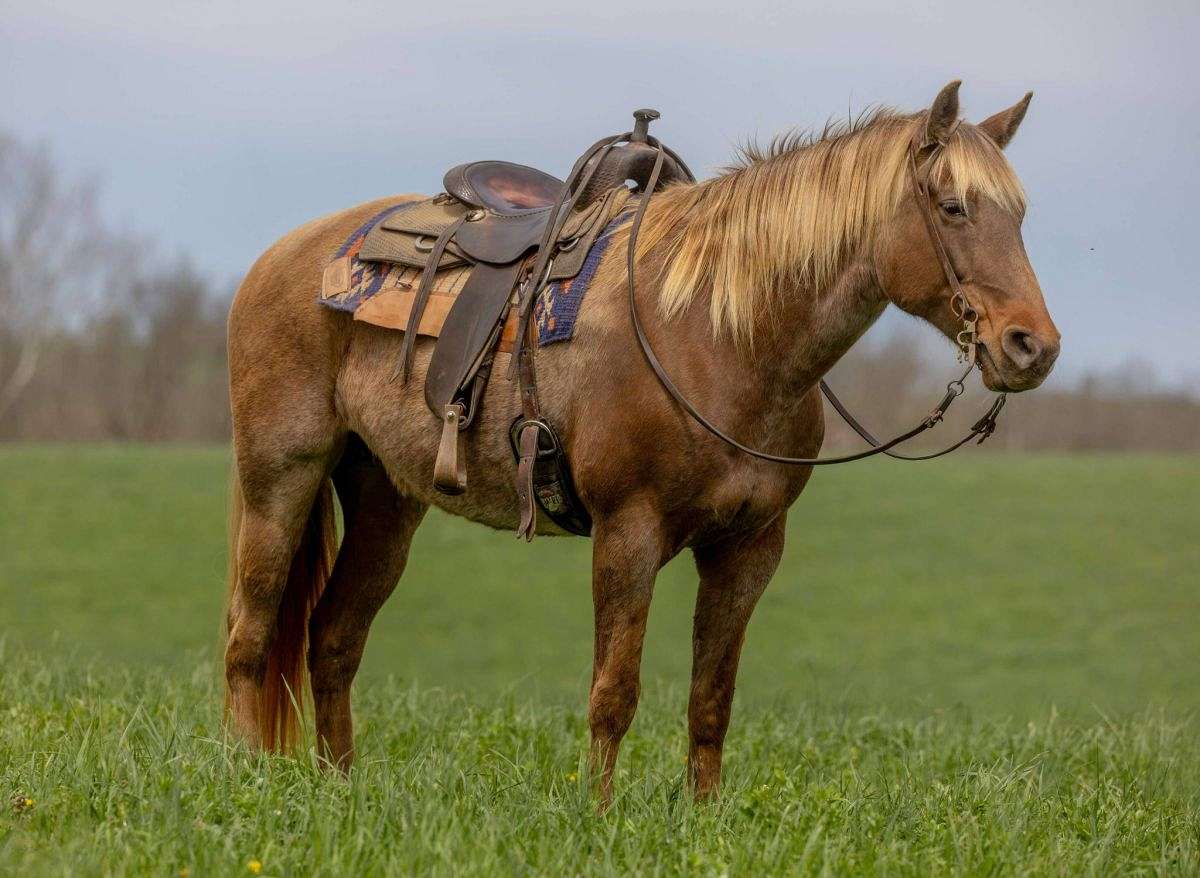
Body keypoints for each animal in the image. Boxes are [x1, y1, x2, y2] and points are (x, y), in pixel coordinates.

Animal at [224, 80, 1060, 804]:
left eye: (1019, 217)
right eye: (952, 206)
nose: (1032, 347)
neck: (719, 331)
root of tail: (279, 257)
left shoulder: (750, 547)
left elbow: (711, 701)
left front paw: (704, 818)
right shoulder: (629, 531)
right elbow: (614, 694)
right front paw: (596, 816)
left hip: (386, 498)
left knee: (333, 639)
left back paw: (340, 789)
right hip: (281, 477)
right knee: (250, 635)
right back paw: (245, 780)